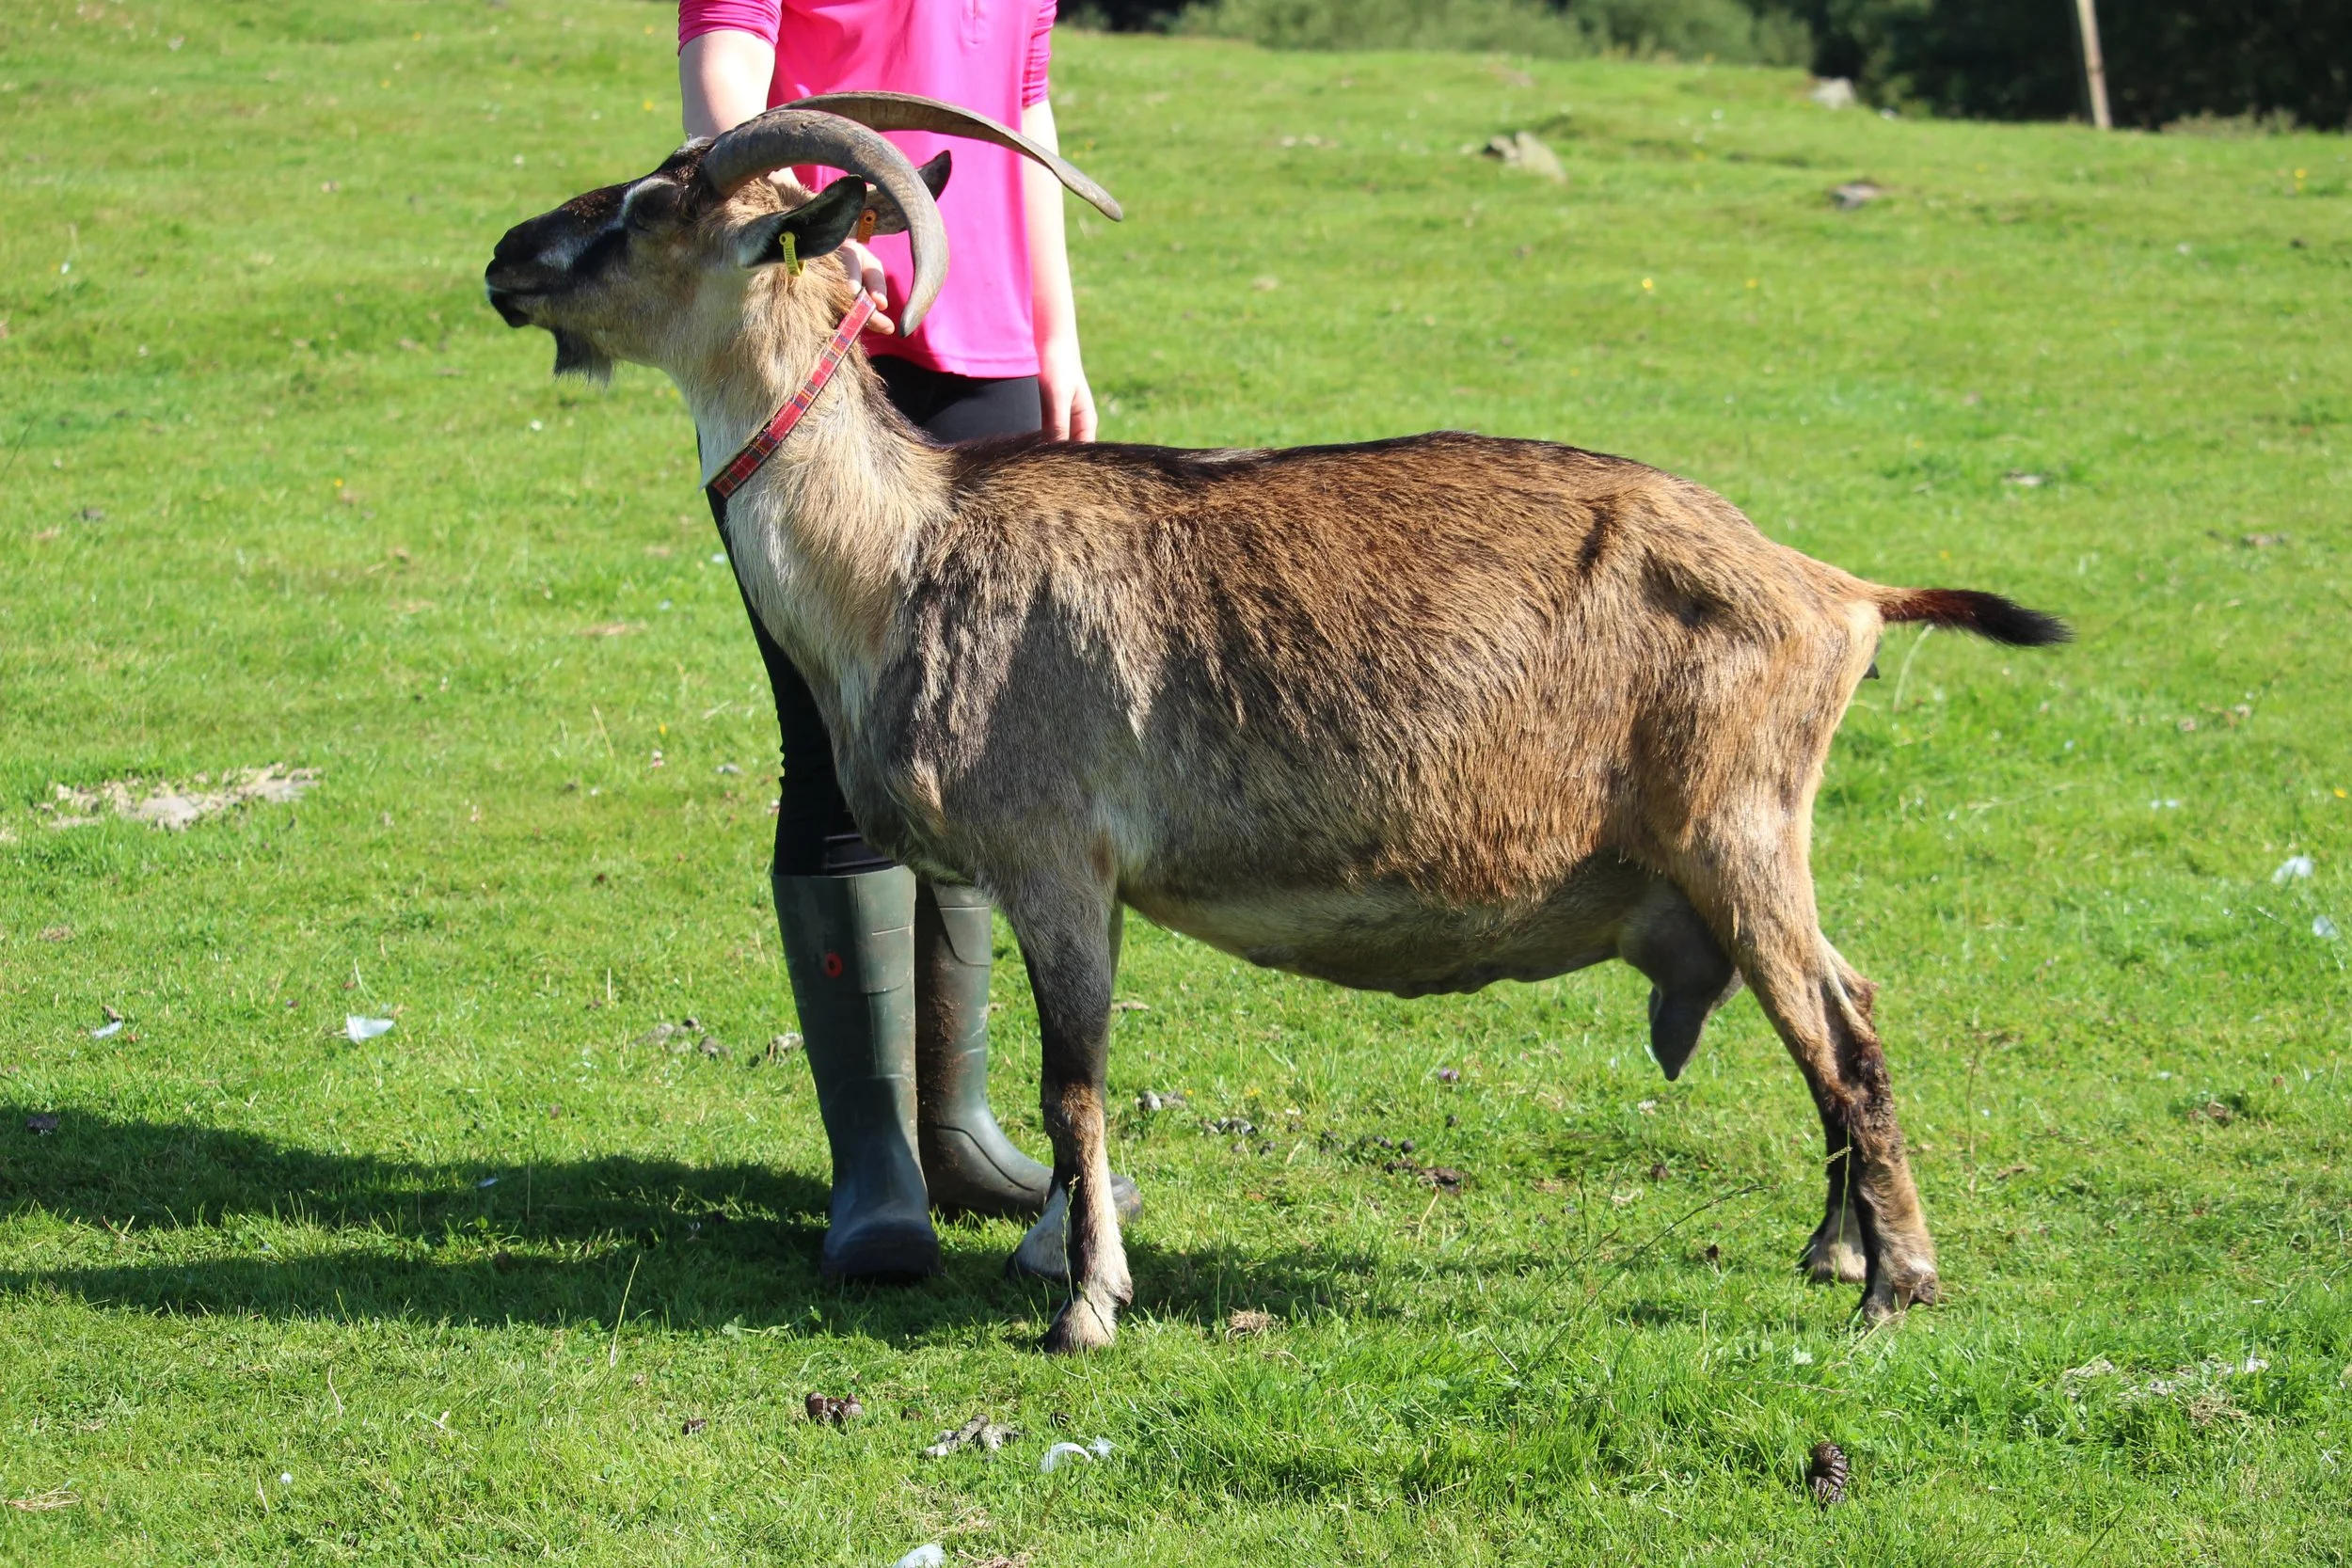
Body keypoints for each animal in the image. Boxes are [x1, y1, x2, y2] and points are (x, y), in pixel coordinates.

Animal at [485, 99, 2068, 1353]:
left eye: (650, 208)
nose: (504, 258)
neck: (908, 550)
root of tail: (1839, 591)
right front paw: (1067, 1263)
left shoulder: (1059, 856)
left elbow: (1074, 1082)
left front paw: (1086, 1305)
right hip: (1737, 848)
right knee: (1850, 997)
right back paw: (1838, 1245)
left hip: (1735, 825)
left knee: (1841, 1036)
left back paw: (1897, 1282)